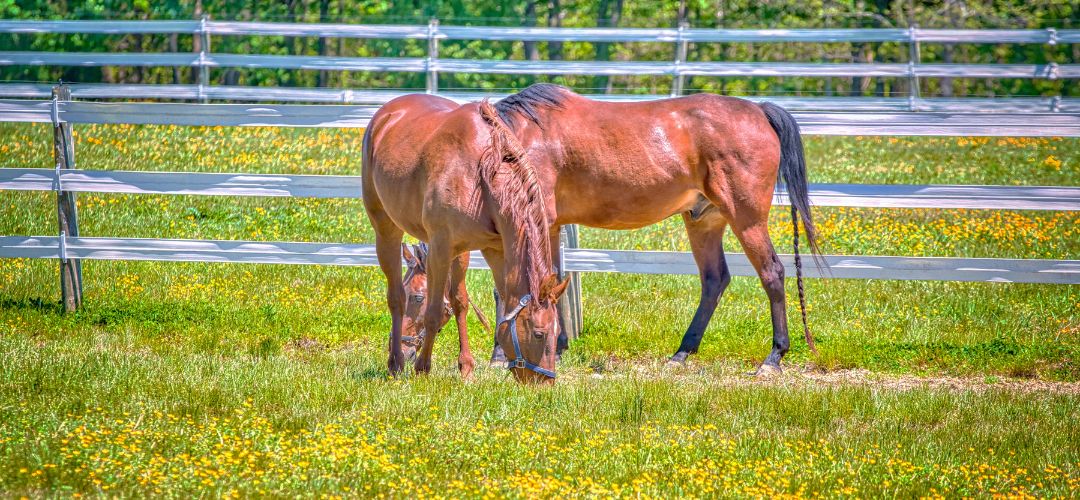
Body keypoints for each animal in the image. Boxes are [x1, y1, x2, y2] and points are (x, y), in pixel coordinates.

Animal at [465, 84, 822, 375]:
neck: (517, 142)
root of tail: (760, 111)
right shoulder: (550, 227)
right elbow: (548, 281)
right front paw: (557, 345)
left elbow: (510, 287)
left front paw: (501, 355)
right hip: (704, 220)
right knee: (714, 280)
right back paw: (681, 354)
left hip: (746, 218)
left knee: (772, 273)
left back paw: (773, 358)